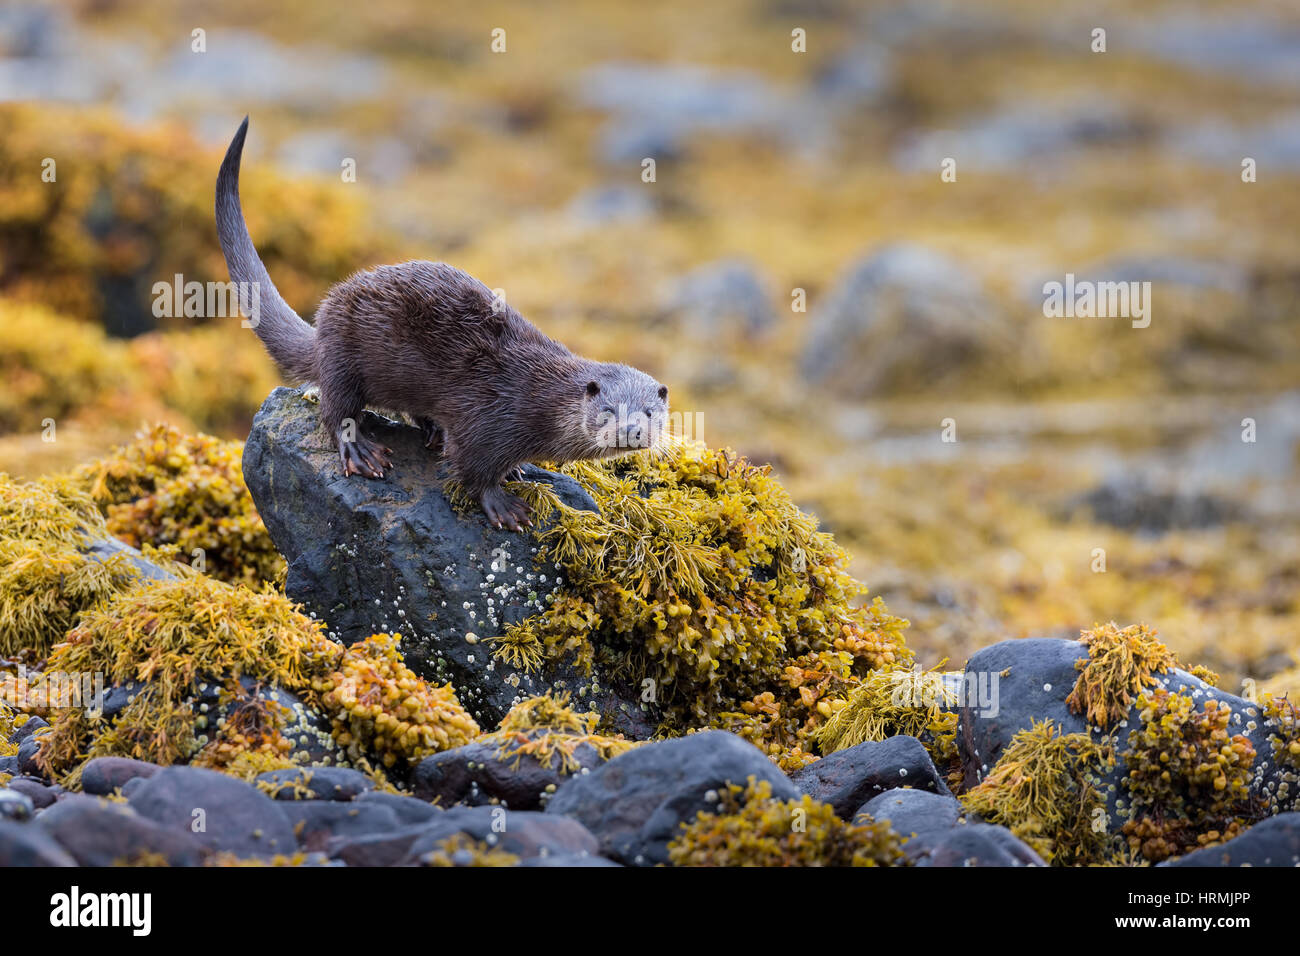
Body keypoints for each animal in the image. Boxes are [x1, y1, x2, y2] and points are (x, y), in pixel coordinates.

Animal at [215, 117, 669, 531]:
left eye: (649, 412)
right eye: (608, 411)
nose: (632, 431)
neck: (540, 396)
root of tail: (323, 319)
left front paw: (516, 469)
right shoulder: (490, 417)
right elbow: (471, 467)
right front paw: (503, 505)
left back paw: (432, 429)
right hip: (343, 356)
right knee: (335, 411)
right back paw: (362, 452)